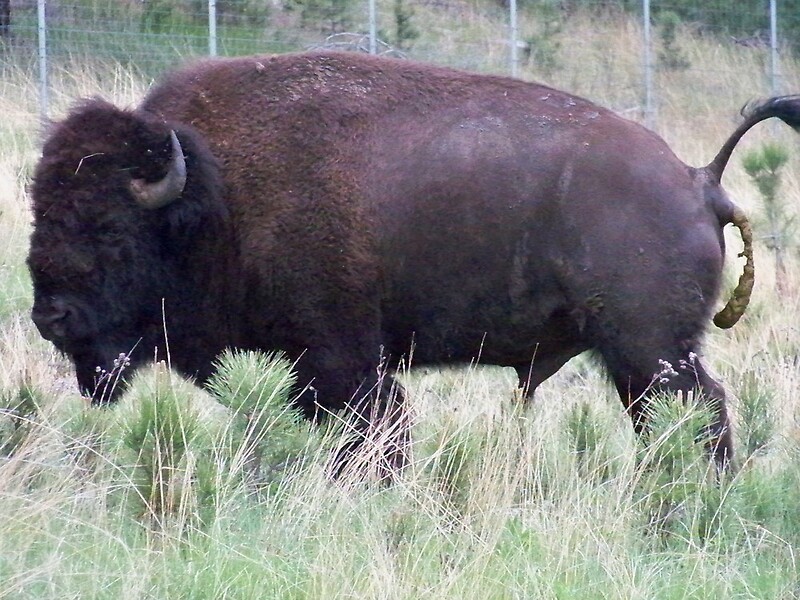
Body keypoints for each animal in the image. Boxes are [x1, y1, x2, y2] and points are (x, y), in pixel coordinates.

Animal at [27, 51, 800, 472]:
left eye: (109, 228)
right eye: (38, 211)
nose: (49, 316)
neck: (216, 194)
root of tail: (696, 178)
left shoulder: (342, 361)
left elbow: (374, 437)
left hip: (649, 350)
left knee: (697, 414)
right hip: (648, 356)